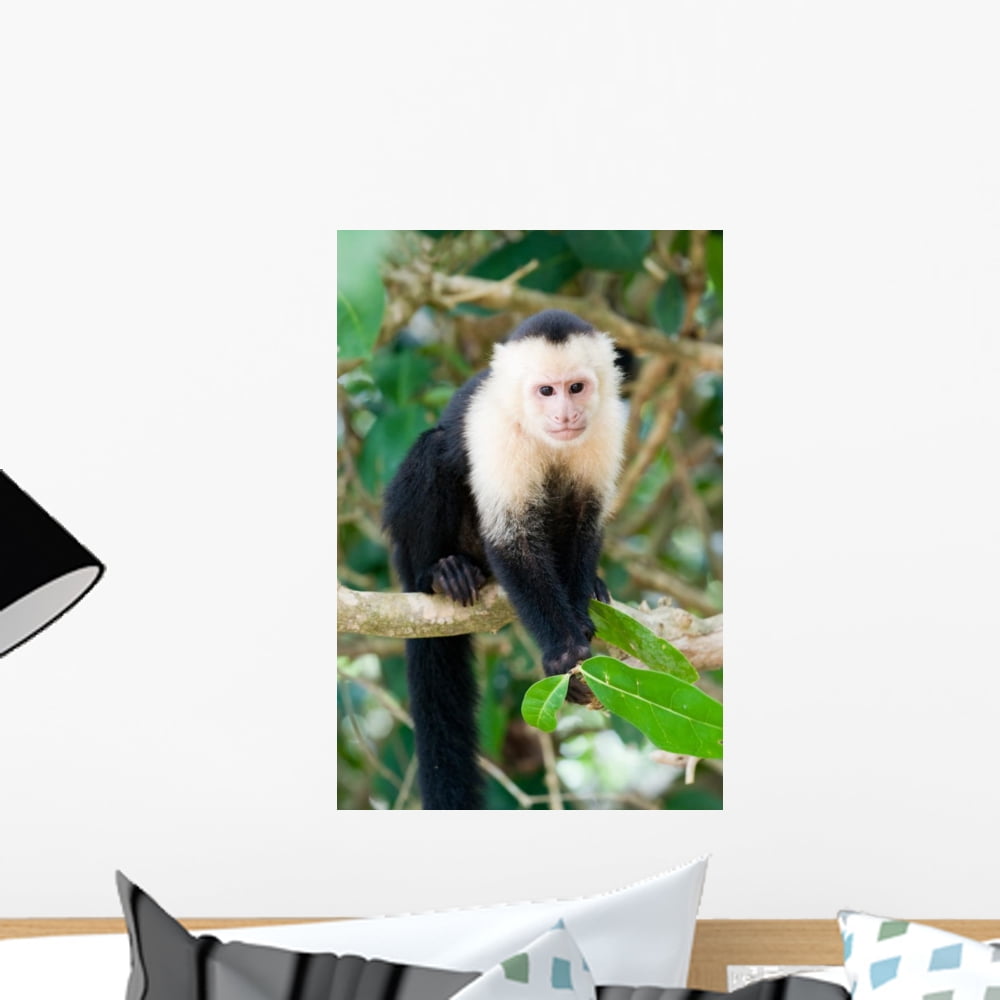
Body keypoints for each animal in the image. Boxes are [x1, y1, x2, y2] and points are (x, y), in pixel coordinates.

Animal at [383, 309, 627, 809]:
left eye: (576, 387)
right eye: (546, 391)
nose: (566, 414)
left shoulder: (608, 425)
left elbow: (584, 521)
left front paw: (581, 615)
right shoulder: (495, 430)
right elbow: (513, 542)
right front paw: (565, 652)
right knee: (435, 452)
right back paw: (440, 573)